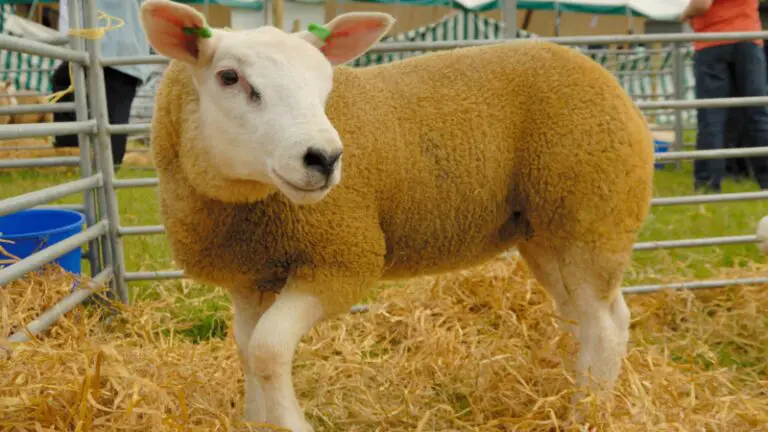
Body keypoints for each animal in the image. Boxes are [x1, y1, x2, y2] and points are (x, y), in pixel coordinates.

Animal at [139, 0, 654, 430]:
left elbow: (267, 350)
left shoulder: (342, 257)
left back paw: (586, 413)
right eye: (228, 77)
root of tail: (605, 77)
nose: (325, 159)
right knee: (581, 317)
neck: (246, 205)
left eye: (325, 83)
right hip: (545, 232)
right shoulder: (249, 276)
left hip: (592, 216)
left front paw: (289, 424)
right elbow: (246, 348)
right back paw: (564, 390)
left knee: (607, 327)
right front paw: (254, 421)